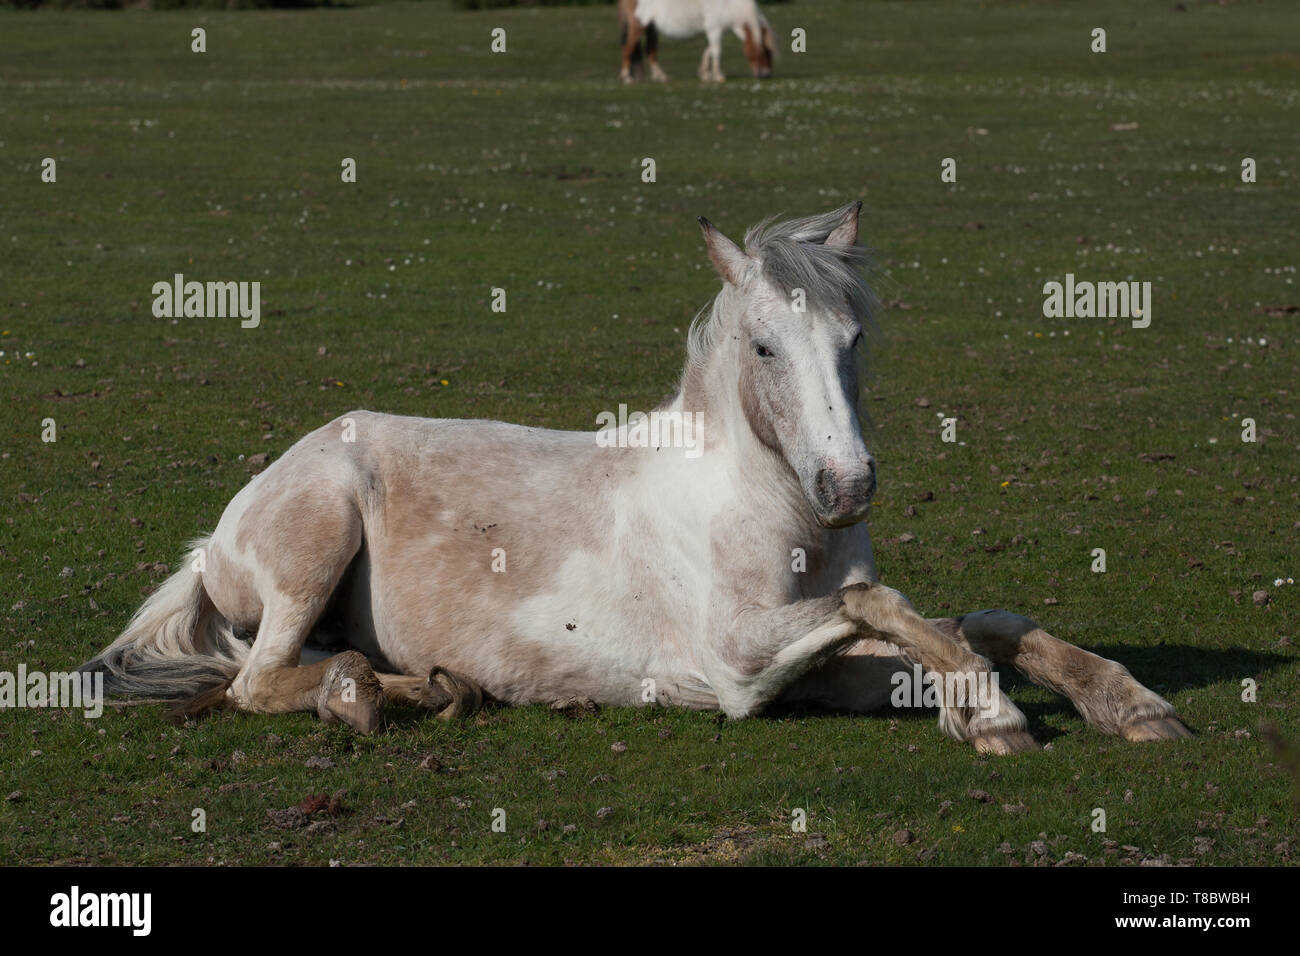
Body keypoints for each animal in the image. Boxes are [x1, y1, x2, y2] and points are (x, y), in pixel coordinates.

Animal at [80, 203, 1191, 754]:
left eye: (855, 336)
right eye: (764, 346)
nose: (847, 488)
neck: (768, 517)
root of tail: (217, 541)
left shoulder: (822, 666)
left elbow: (971, 623)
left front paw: (1124, 704)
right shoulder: (740, 667)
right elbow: (887, 603)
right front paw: (995, 716)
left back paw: (420, 684)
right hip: (317, 536)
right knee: (261, 680)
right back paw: (377, 695)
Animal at [618, 0, 775, 84]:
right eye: (765, 51)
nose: (766, 74)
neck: (728, 5)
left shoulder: (713, 31)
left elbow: (709, 50)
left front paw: (705, 74)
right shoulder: (714, 29)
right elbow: (716, 51)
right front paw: (718, 76)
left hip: (652, 28)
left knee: (651, 50)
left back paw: (660, 76)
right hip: (638, 25)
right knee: (628, 48)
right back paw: (627, 77)